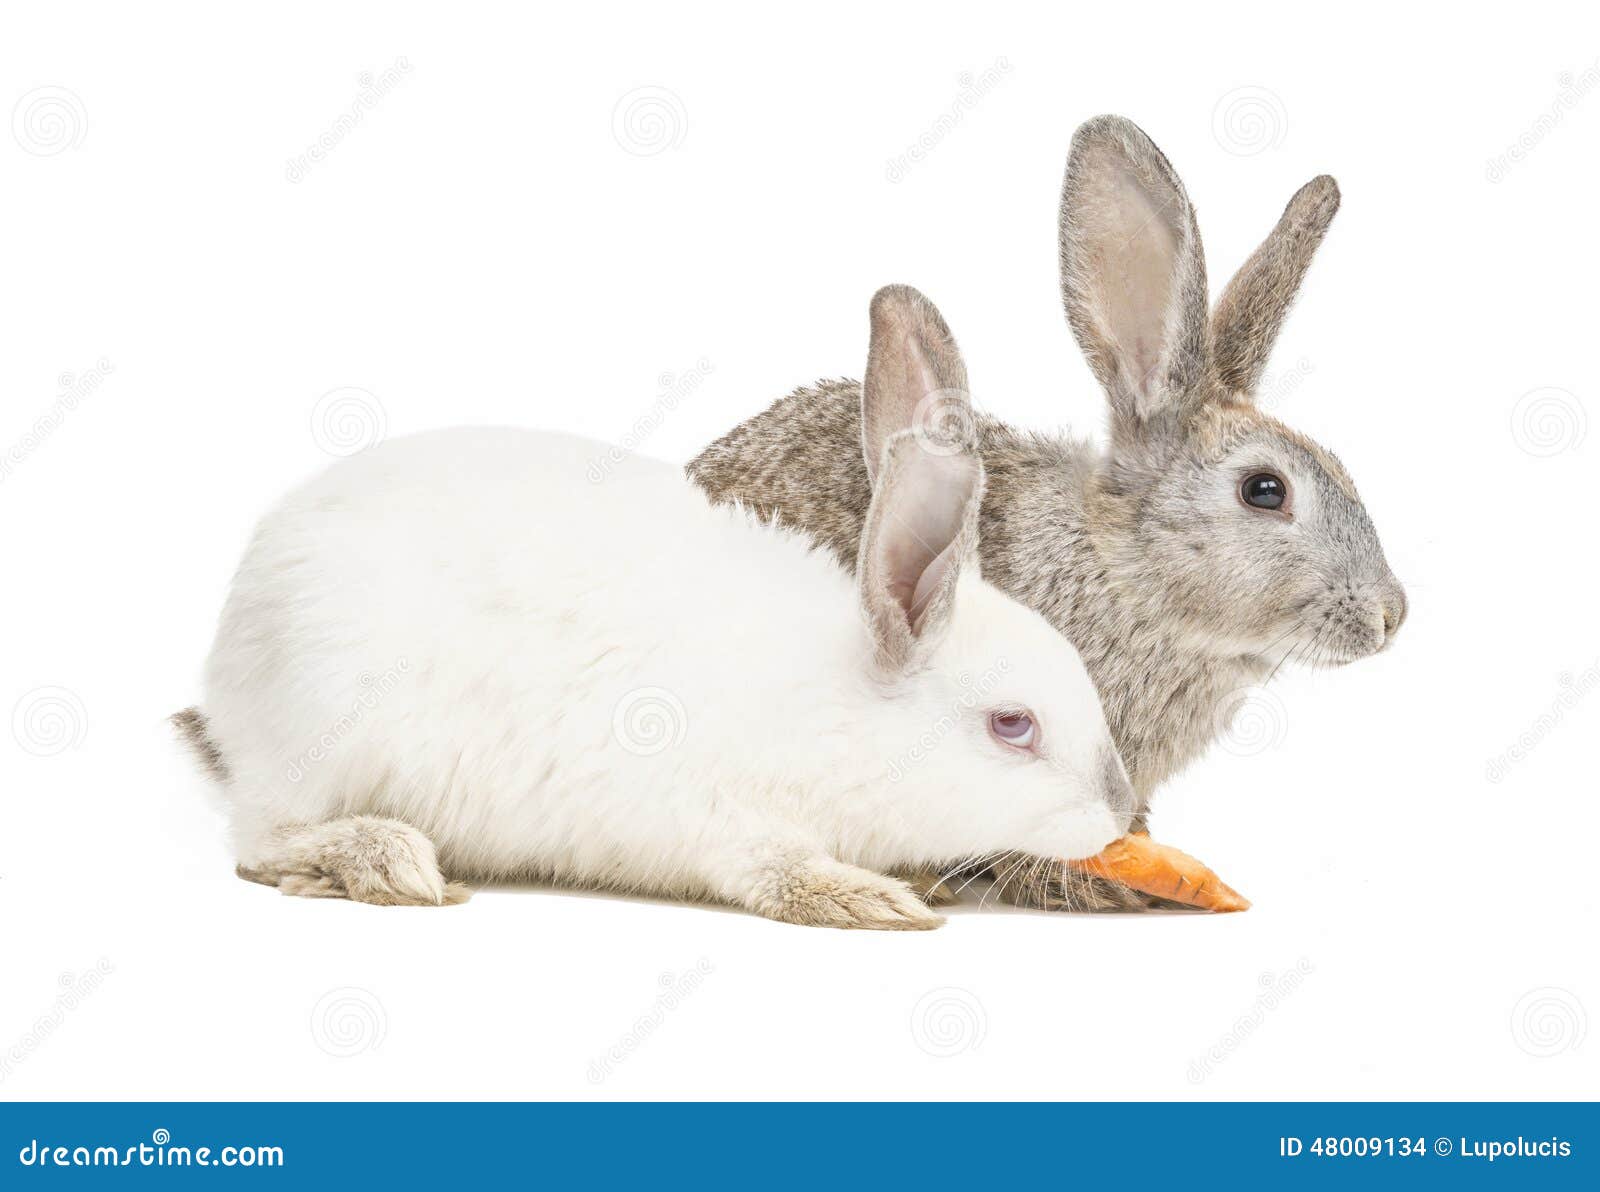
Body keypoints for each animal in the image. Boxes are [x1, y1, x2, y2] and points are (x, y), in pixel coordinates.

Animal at [173, 284, 1137, 929]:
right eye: (1012, 725)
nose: (1122, 817)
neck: (843, 712)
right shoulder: (721, 820)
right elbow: (775, 871)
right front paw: (870, 899)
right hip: (319, 738)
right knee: (261, 840)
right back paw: (384, 861)